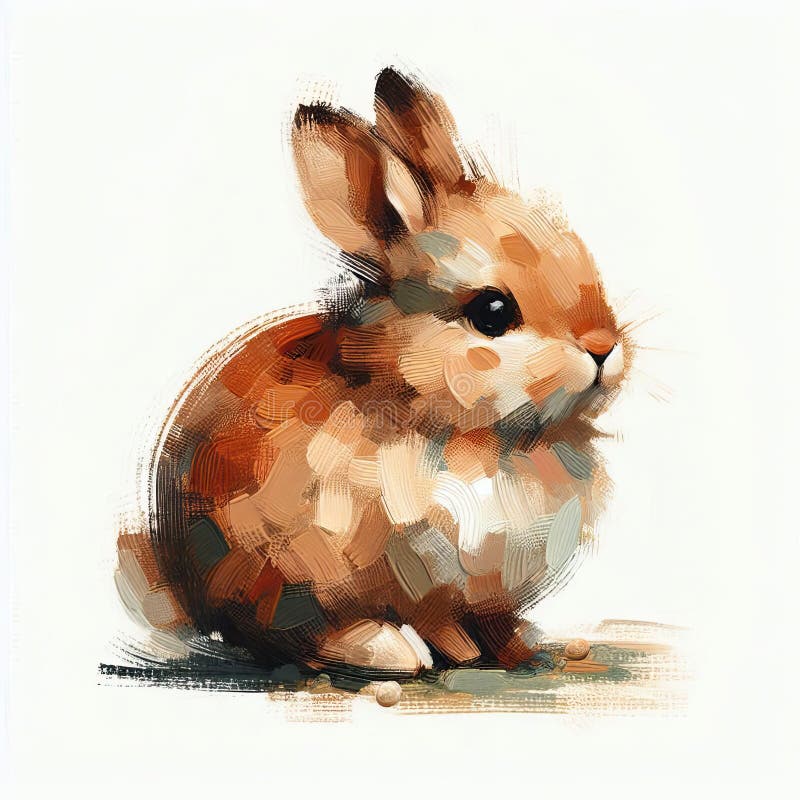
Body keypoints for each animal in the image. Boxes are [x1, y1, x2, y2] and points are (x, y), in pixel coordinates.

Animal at [115, 66, 630, 681]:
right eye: (492, 312)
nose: (604, 348)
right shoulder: (400, 570)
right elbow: (437, 621)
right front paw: (447, 652)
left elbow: (492, 620)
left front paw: (520, 645)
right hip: (272, 574)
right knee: (288, 638)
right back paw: (385, 649)